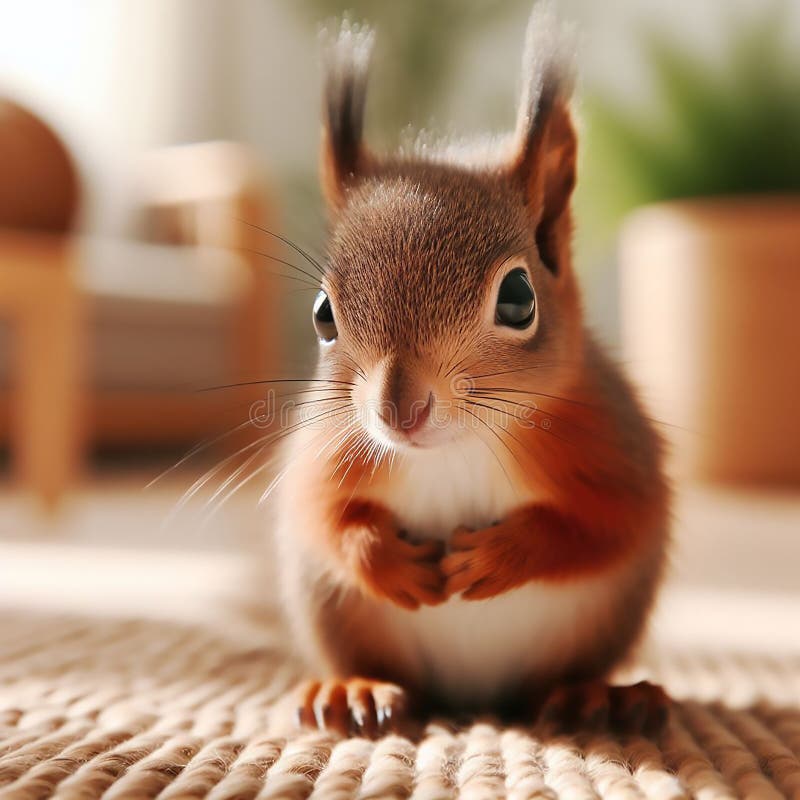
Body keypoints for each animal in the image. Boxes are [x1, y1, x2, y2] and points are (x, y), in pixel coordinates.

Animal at [272, 4, 670, 736]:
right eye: (322, 314)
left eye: (518, 300)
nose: (399, 412)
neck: (453, 447)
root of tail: (476, 700)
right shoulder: (330, 448)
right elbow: (322, 516)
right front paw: (390, 563)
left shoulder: (617, 450)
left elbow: (607, 525)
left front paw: (499, 556)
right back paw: (354, 690)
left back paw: (597, 697)